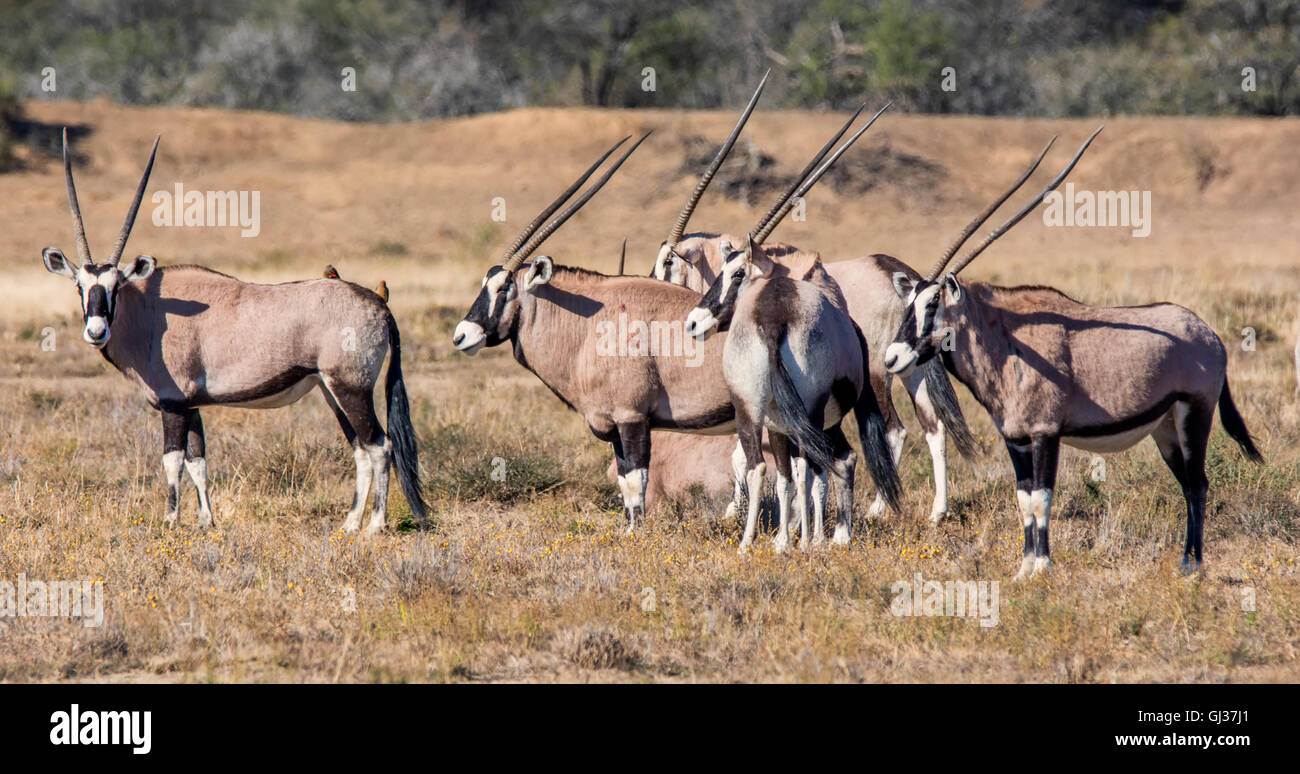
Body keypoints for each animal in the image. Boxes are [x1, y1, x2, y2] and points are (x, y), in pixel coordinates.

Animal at [40, 130, 427, 533]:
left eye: (115, 286)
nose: (96, 330)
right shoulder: (192, 405)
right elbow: (198, 462)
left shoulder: (172, 404)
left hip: (352, 388)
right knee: (361, 449)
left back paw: (375, 525)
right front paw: (206, 521)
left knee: (380, 446)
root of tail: (379, 304)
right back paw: (350, 524)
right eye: (80, 286)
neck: (150, 311)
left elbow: (172, 461)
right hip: (332, 391)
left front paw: (170, 521)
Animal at [883, 127, 1262, 578]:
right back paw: (1186, 561)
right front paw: (1024, 569)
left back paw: (1194, 566)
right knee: (1188, 483)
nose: (891, 358)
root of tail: (1210, 335)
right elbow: (1023, 499)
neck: (1006, 342)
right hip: (1166, 428)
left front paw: (1043, 567)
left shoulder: (1046, 433)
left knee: (1199, 483)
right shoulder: (1016, 439)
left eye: (932, 304)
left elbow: (1041, 498)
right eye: (908, 302)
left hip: (1195, 415)